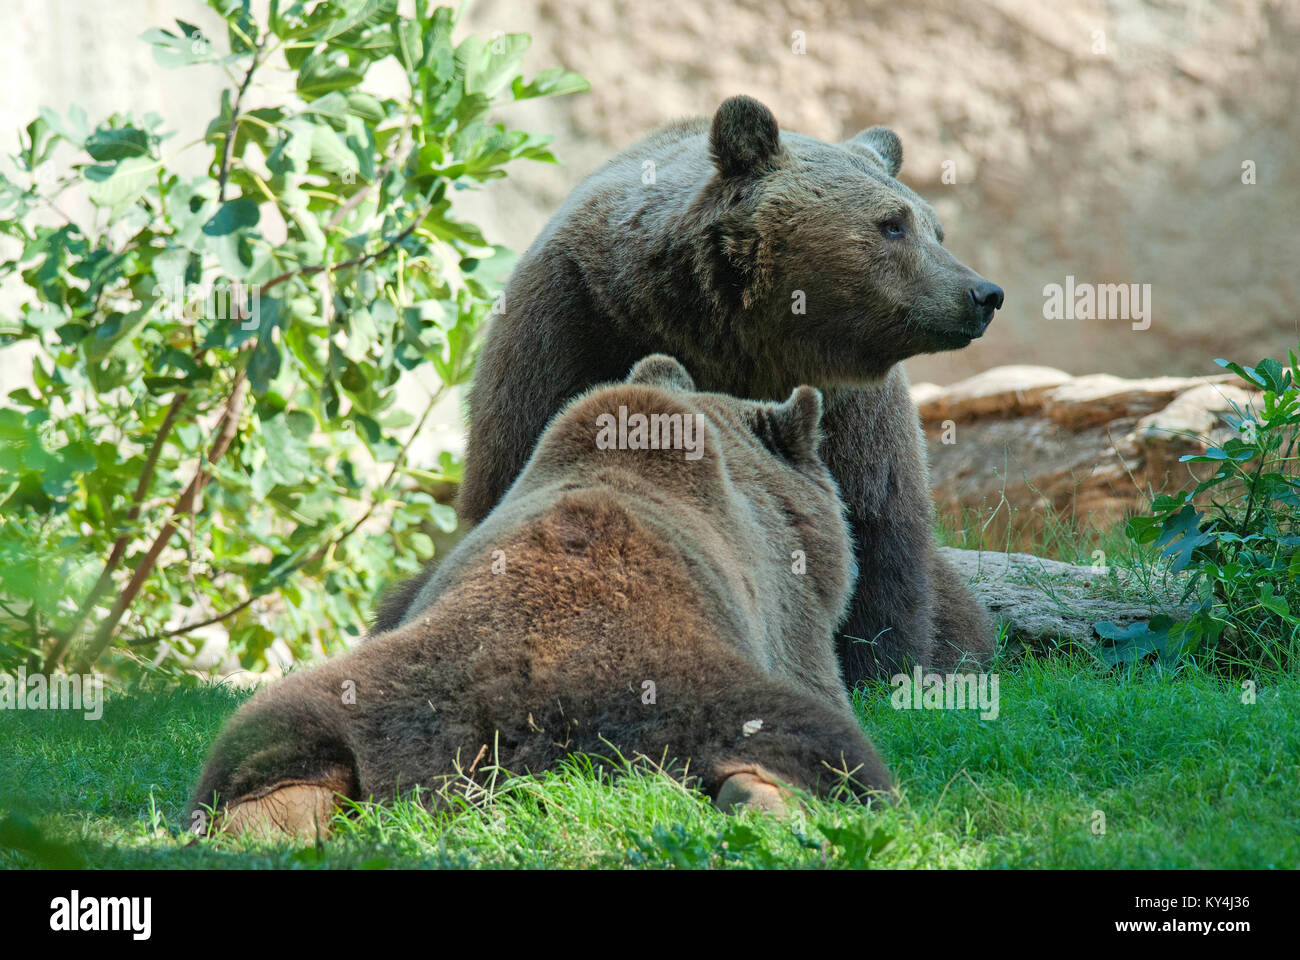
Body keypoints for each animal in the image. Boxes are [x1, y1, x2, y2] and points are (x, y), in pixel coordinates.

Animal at [191, 356, 892, 837]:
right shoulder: (792, 623)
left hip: (365, 695)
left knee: (264, 746)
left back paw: (265, 823)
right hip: (695, 694)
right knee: (825, 752)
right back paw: (771, 804)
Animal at [379, 95, 1004, 687]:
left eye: (935, 229)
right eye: (891, 224)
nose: (983, 293)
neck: (735, 336)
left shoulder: (852, 405)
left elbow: (877, 526)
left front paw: (882, 666)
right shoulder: (572, 332)